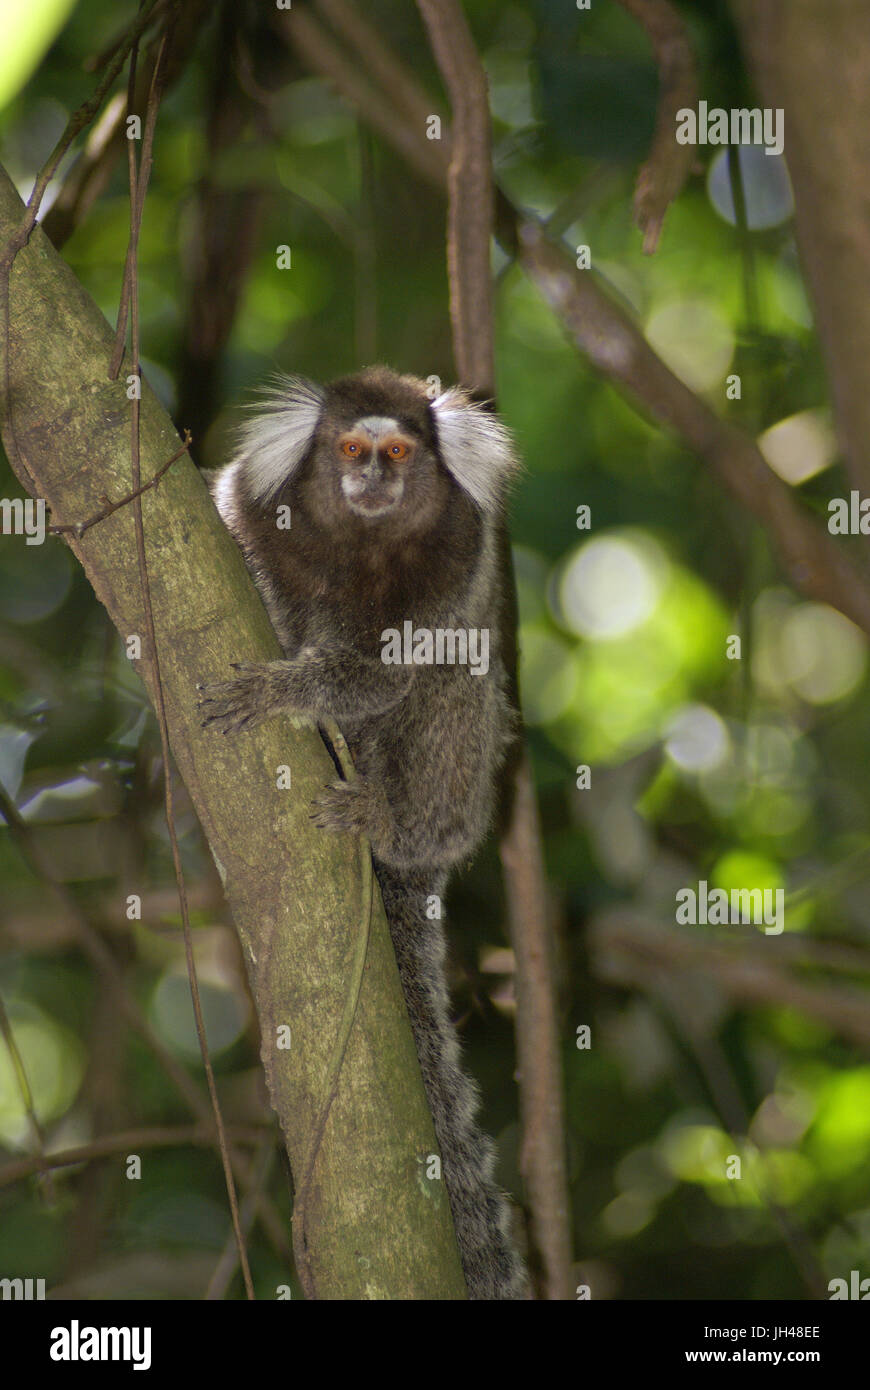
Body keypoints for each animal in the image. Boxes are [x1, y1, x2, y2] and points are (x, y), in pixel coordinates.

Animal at [197, 365, 529, 1300]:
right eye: (350, 448)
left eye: (399, 454)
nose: (372, 479)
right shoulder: (255, 504)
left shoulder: (458, 555)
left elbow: (389, 669)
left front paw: (288, 690)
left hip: (455, 809)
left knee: (458, 680)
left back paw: (382, 817)